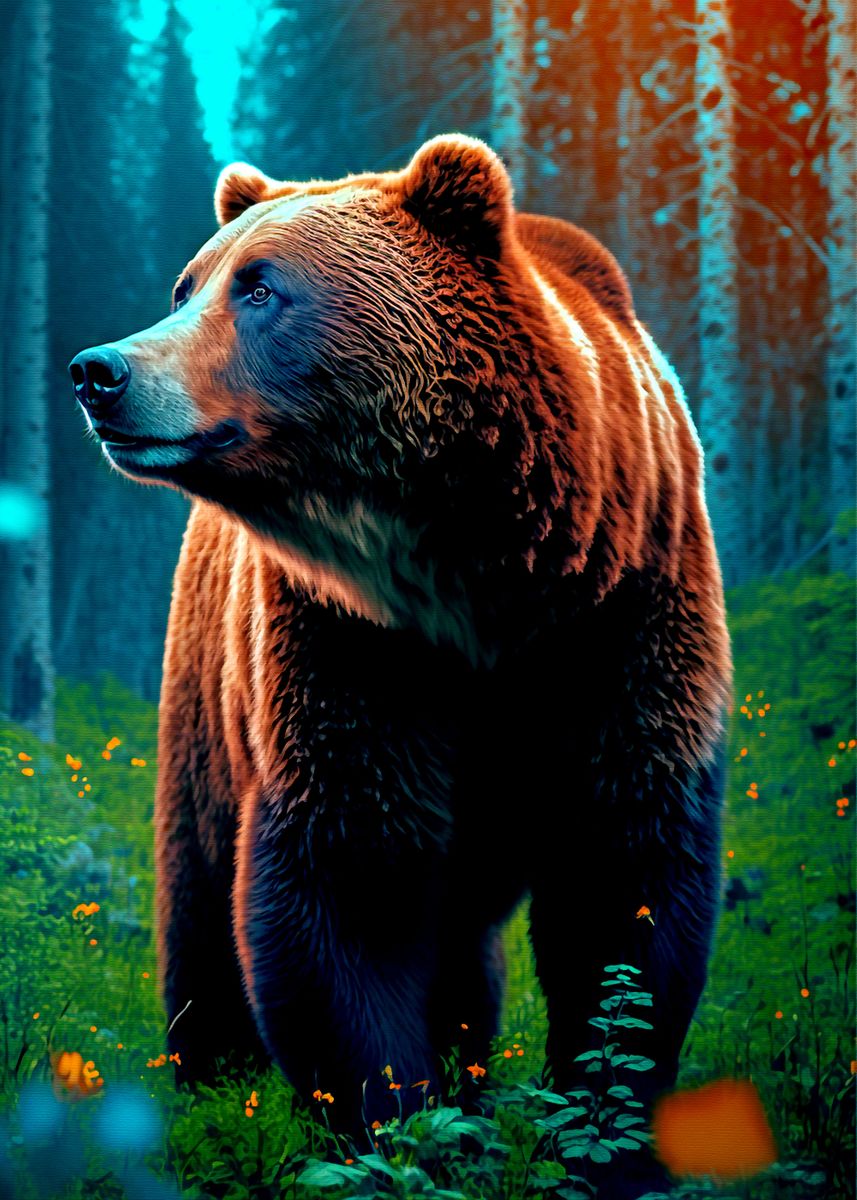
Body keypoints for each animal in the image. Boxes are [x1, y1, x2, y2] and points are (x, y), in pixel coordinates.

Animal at [69, 133, 731, 1189]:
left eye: (260, 288)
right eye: (187, 285)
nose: (102, 370)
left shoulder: (621, 618)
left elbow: (624, 882)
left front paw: (604, 1141)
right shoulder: (346, 646)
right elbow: (348, 882)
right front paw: (400, 1130)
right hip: (205, 693)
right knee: (200, 898)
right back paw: (213, 1080)